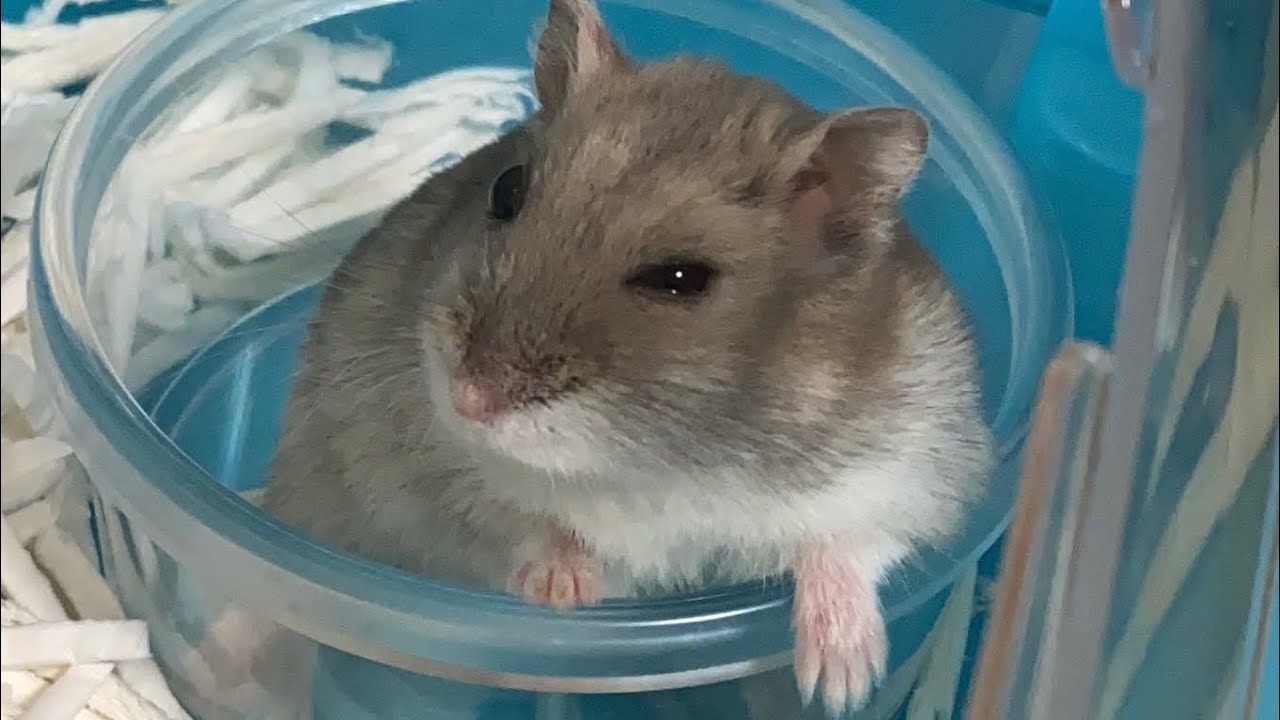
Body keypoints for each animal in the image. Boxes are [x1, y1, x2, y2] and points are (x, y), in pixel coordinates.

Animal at [264, 0, 994, 714]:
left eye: (680, 279)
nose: (468, 402)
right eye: (505, 191)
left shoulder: (911, 466)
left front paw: (842, 683)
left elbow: (851, 544)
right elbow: (525, 520)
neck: (664, 459)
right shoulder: (442, 470)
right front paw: (561, 590)